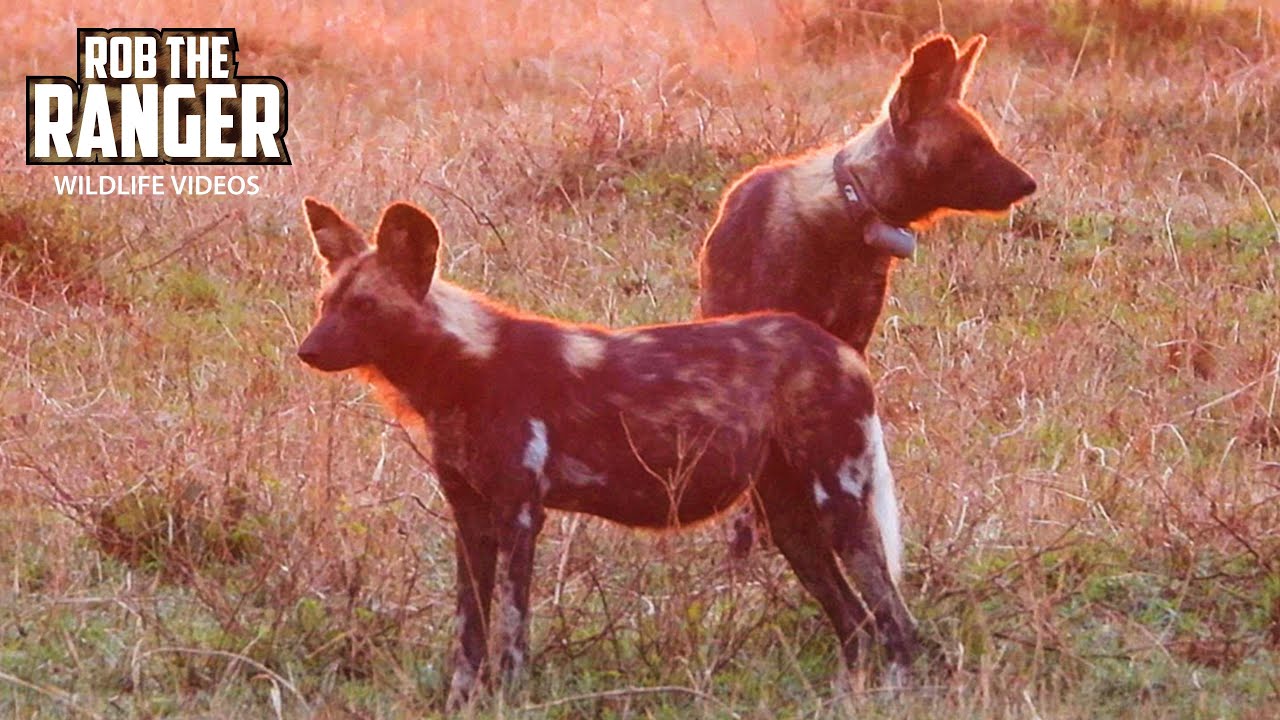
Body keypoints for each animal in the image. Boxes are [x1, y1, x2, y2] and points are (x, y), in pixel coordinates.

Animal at [298, 199, 918, 709]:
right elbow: (469, 633)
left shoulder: (519, 514)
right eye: (326, 304)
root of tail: (840, 351)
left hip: (840, 508)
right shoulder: (471, 519)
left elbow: (512, 630)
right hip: (792, 525)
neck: (459, 370)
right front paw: (461, 702)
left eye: (366, 306)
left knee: (896, 624)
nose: (307, 350)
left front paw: (511, 698)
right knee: (857, 625)